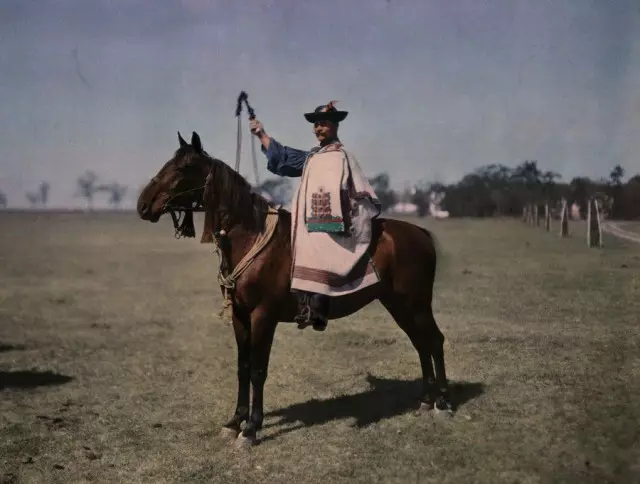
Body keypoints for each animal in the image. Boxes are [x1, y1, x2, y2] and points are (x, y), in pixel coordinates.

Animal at [138, 131, 452, 446]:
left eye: (184, 167)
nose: (142, 204)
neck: (249, 238)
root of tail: (419, 233)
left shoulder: (263, 316)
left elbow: (258, 369)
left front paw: (251, 428)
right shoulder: (240, 316)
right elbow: (242, 367)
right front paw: (234, 421)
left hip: (416, 304)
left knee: (434, 341)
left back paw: (443, 403)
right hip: (398, 305)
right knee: (420, 343)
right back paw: (426, 400)